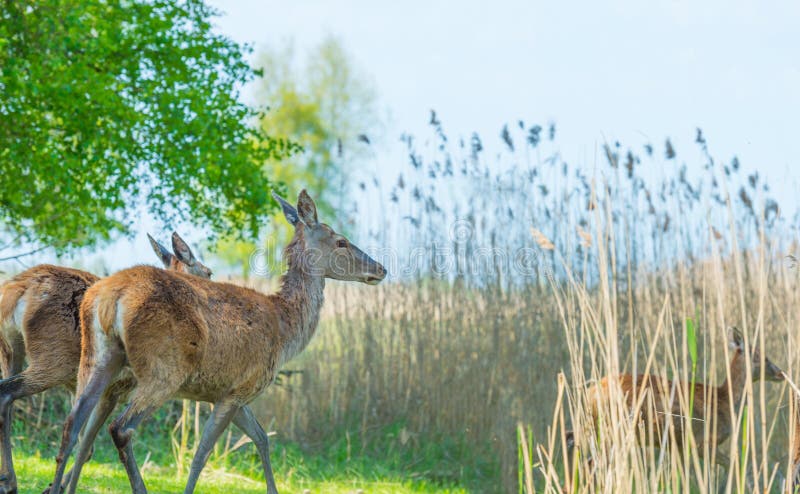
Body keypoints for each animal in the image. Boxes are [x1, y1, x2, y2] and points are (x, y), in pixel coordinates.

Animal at [48, 190, 387, 494]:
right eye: (341, 241)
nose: (381, 268)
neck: (286, 331)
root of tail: (111, 297)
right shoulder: (241, 387)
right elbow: (202, 454)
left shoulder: (226, 391)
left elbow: (261, 437)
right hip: (163, 369)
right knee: (121, 428)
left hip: (96, 359)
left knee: (73, 425)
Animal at [564, 326, 784, 480]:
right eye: (762, 358)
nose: (781, 373)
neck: (724, 401)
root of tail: (591, 391)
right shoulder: (702, 442)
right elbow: (733, 466)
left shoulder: (677, 446)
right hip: (612, 430)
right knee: (589, 465)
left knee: (572, 441)